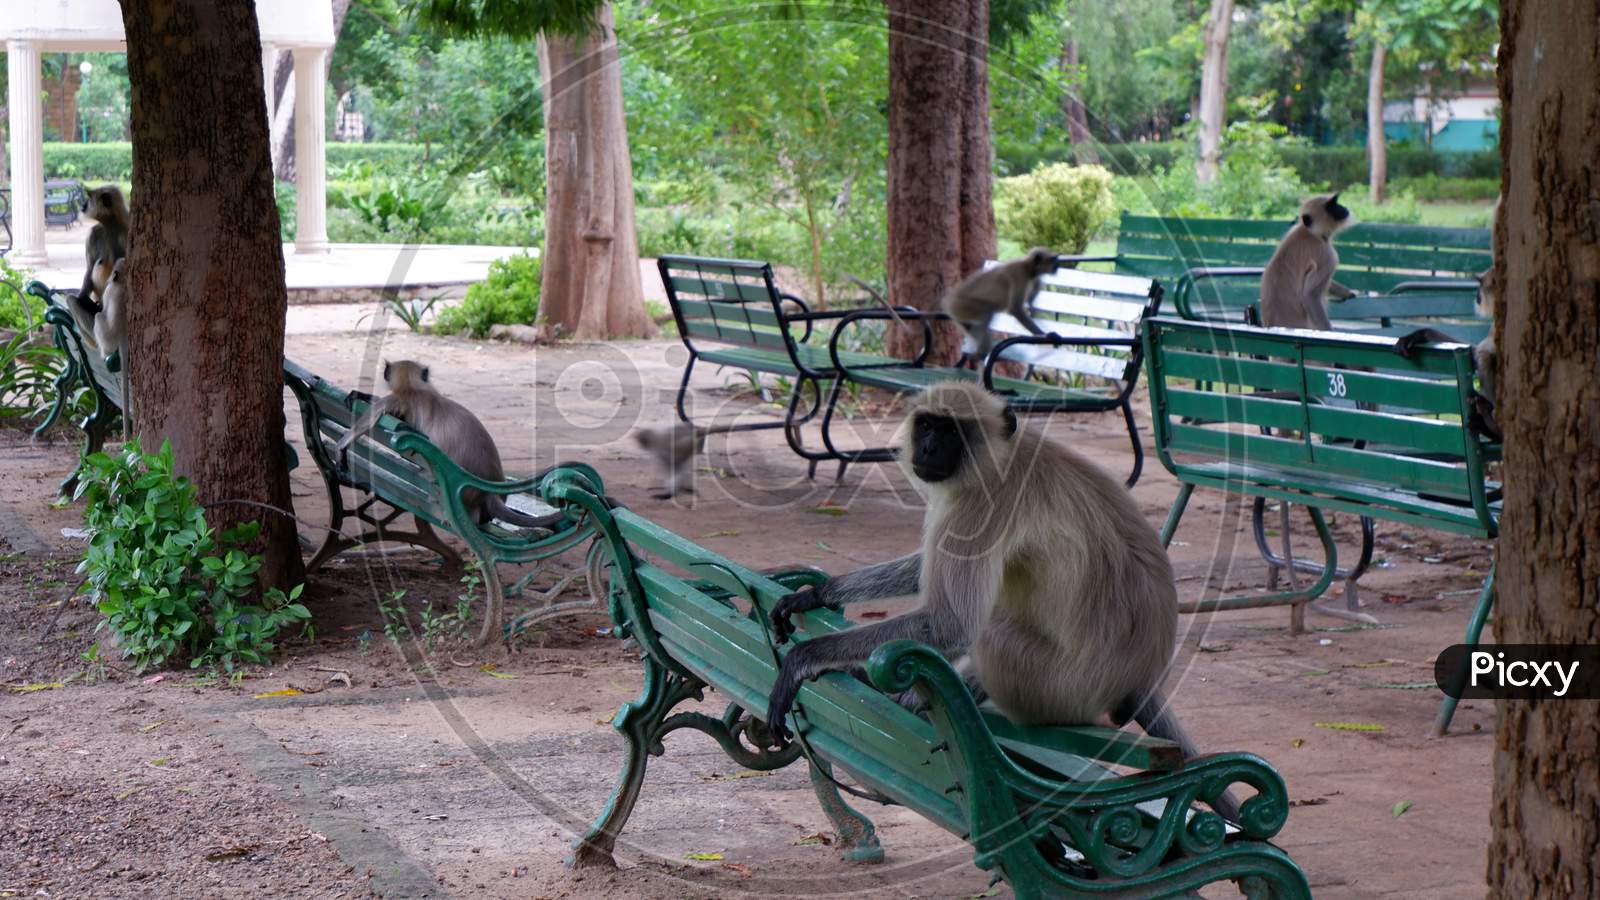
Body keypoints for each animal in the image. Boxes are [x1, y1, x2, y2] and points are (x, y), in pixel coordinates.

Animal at [76, 185, 130, 318]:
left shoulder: (126, 233)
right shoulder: (93, 233)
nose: (83, 204)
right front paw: (83, 297)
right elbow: (90, 267)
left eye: (89, 197)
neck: (111, 225)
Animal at [334, 360, 567, 531]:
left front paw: (342, 446)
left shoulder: (396, 400)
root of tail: (488, 492)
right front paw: (360, 395)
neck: (415, 389)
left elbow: (371, 423)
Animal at [763, 380, 1240, 821]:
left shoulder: (982, 506)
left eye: (953, 431)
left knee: (990, 634)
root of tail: (1141, 674)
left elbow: (951, 622)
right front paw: (816, 593)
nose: (929, 447)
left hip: (1062, 688)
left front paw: (806, 657)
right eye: (928, 425)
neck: (1003, 459)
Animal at [1259, 193, 1357, 330]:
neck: (1309, 233)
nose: (1344, 208)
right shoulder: (1327, 255)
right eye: (1332, 206)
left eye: (1336, 203)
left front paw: (1347, 293)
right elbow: (1310, 296)